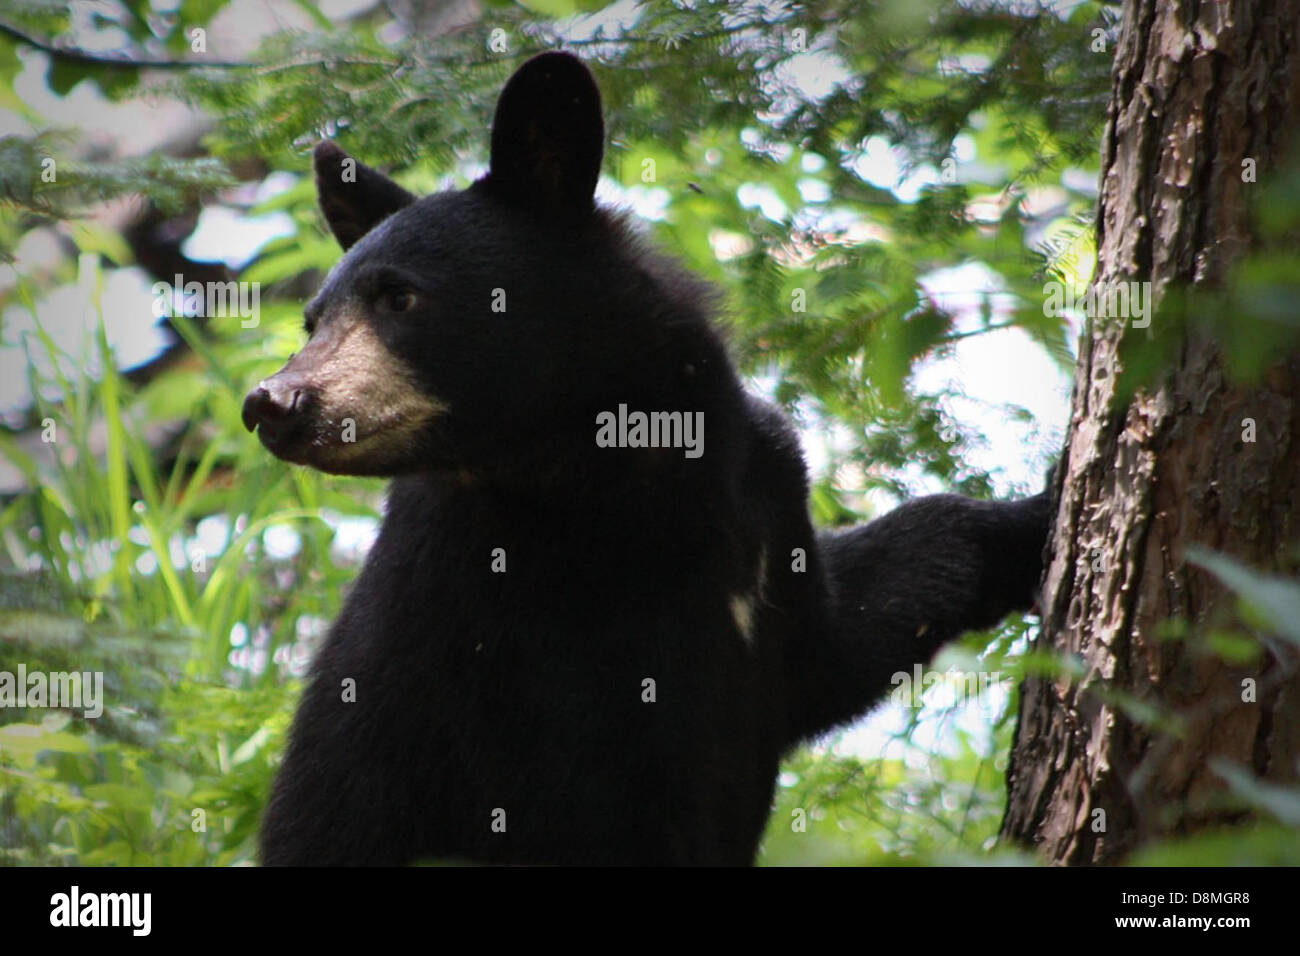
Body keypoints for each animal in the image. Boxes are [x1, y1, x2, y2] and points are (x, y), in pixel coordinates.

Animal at [243, 51, 1053, 866]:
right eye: (315, 319)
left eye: (399, 298)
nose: (272, 403)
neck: (620, 477)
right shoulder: (482, 604)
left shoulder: (764, 507)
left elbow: (854, 630)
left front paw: (1035, 516)